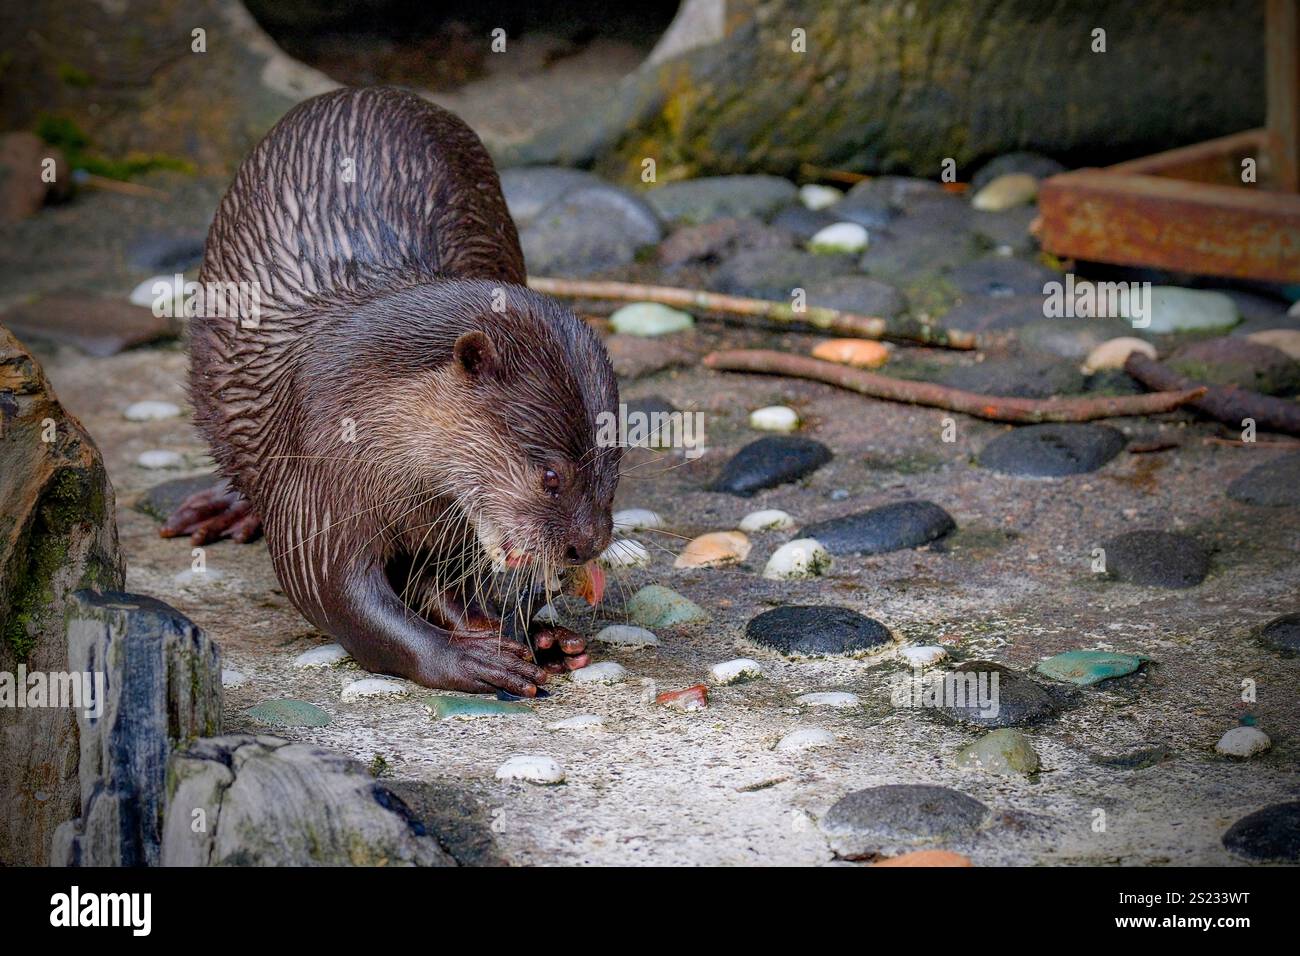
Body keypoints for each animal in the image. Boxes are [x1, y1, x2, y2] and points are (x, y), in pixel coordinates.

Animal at [161, 87, 621, 697]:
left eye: (615, 473)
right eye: (550, 475)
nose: (586, 545)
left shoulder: (444, 517)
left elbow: (431, 578)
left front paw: (530, 633)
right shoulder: (316, 479)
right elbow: (335, 592)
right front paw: (465, 657)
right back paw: (227, 510)